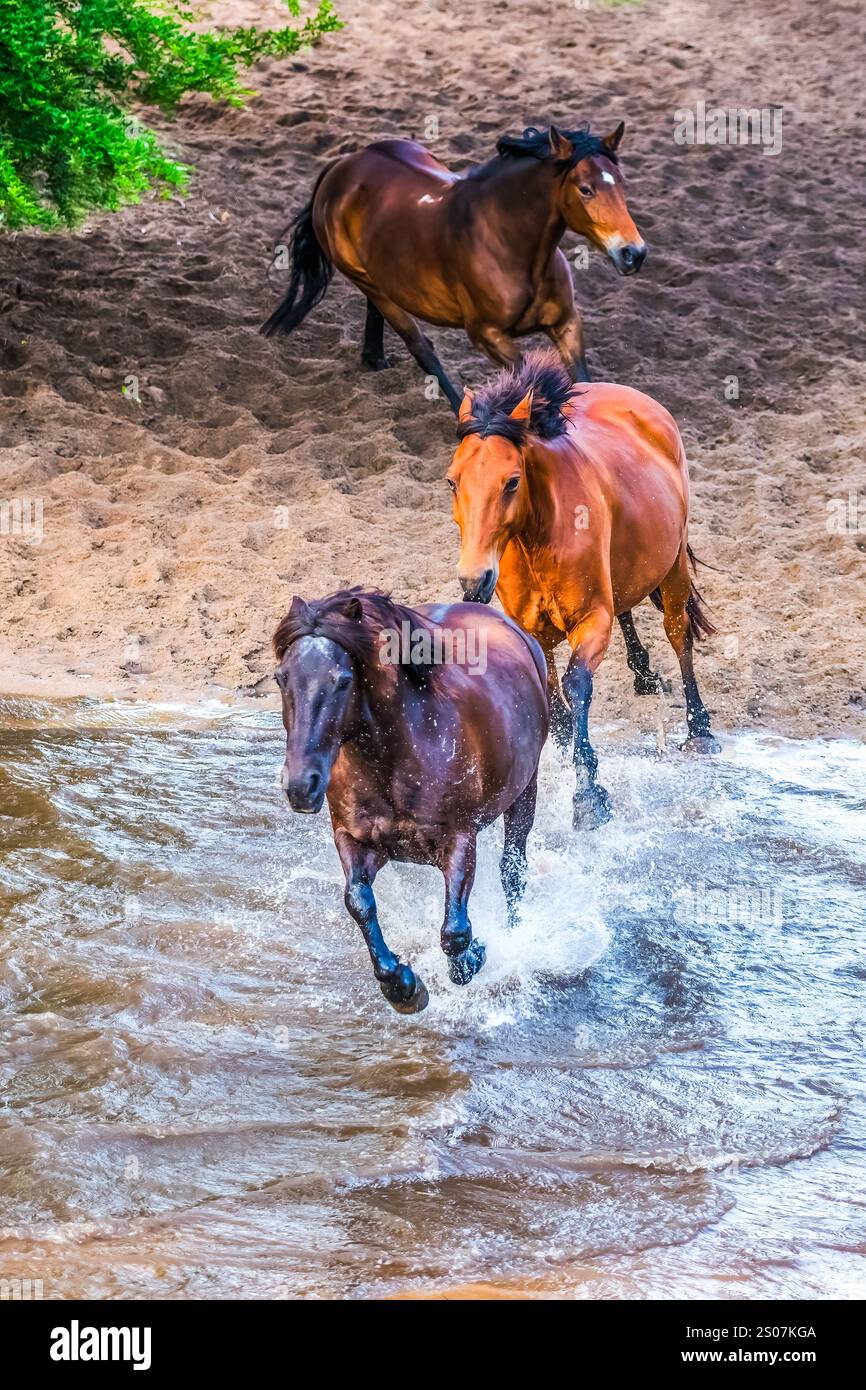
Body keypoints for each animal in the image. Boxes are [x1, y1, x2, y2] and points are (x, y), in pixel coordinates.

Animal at [260, 123, 646, 412]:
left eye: (622, 182)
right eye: (585, 189)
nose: (634, 253)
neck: (514, 247)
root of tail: (343, 165)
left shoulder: (567, 324)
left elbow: (583, 381)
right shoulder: (487, 335)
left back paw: (375, 359)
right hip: (367, 281)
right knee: (421, 347)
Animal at [273, 589, 549, 1013]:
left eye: (343, 681)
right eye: (281, 678)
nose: (301, 786)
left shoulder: (460, 838)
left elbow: (455, 931)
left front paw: (475, 956)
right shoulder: (355, 838)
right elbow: (359, 901)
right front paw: (402, 986)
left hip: (524, 793)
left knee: (513, 872)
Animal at [446, 350, 720, 830]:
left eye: (511, 481)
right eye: (452, 481)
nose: (473, 580)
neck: (538, 538)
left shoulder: (592, 621)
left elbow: (577, 687)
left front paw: (589, 793)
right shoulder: (532, 632)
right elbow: (554, 706)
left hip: (673, 568)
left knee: (678, 633)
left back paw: (699, 728)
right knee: (629, 608)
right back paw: (643, 674)